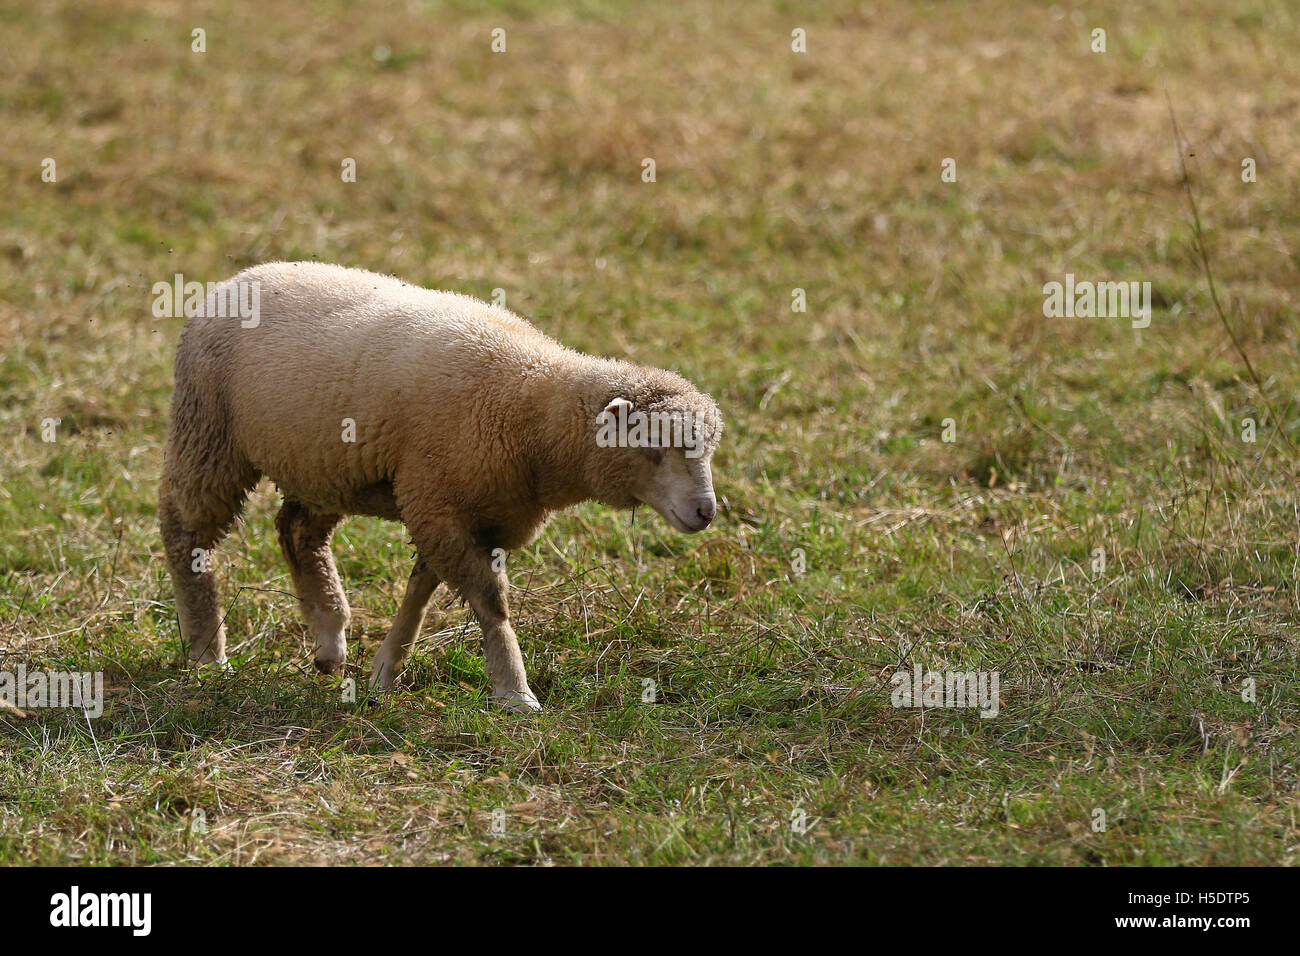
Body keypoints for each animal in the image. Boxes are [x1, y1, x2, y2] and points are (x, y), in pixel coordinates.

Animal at [159, 262, 722, 711]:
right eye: (653, 446)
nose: (707, 512)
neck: (530, 407)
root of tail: (234, 279)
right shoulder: (439, 503)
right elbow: (491, 603)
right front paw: (515, 693)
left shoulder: (464, 510)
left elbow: (421, 589)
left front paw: (385, 671)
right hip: (209, 432)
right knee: (185, 530)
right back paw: (207, 653)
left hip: (324, 464)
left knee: (297, 531)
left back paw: (329, 637)